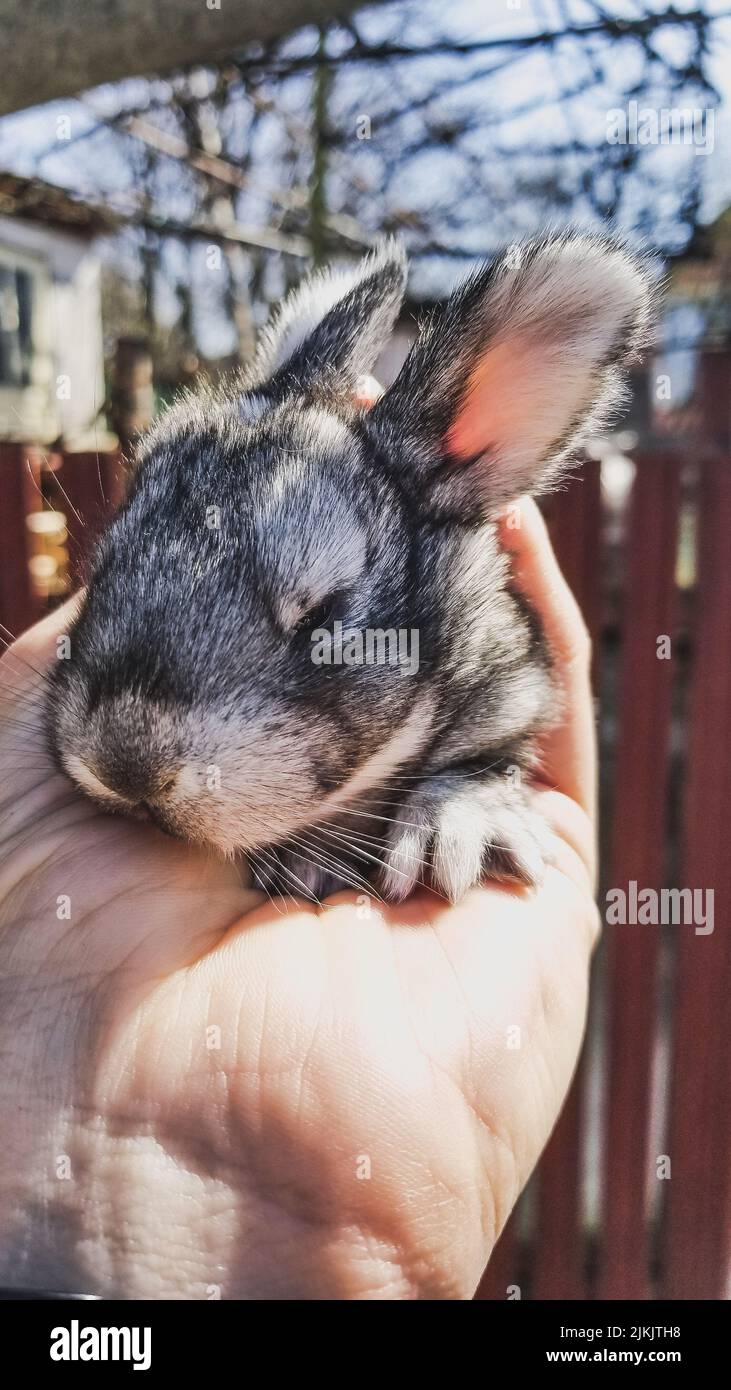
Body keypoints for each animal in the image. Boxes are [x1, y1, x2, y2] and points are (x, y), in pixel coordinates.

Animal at [47, 232, 652, 904]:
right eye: (101, 570)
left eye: (324, 613)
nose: (123, 764)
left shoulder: (517, 693)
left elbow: (487, 762)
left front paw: (455, 827)